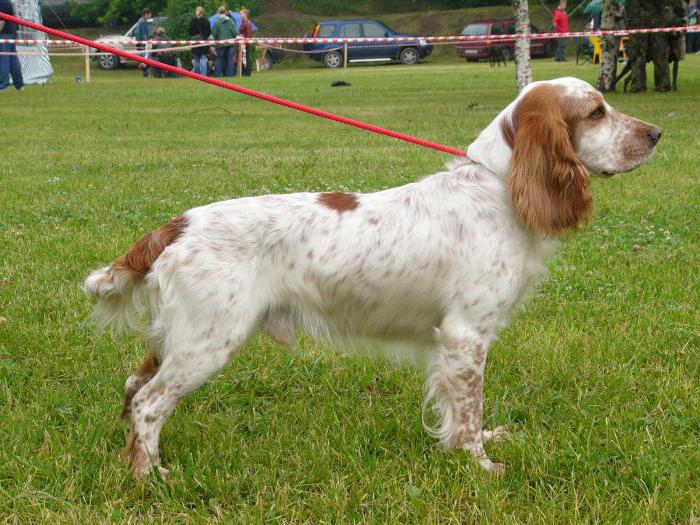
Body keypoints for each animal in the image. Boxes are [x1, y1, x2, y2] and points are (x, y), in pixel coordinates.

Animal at [85, 77, 660, 474]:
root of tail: (176, 225)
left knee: (134, 387)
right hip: (208, 341)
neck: (497, 186)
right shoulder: (466, 335)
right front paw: (481, 466)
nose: (656, 133)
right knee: (149, 404)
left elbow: (456, 411)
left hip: (177, 337)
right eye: (597, 111)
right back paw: (152, 475)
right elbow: (468, 413)